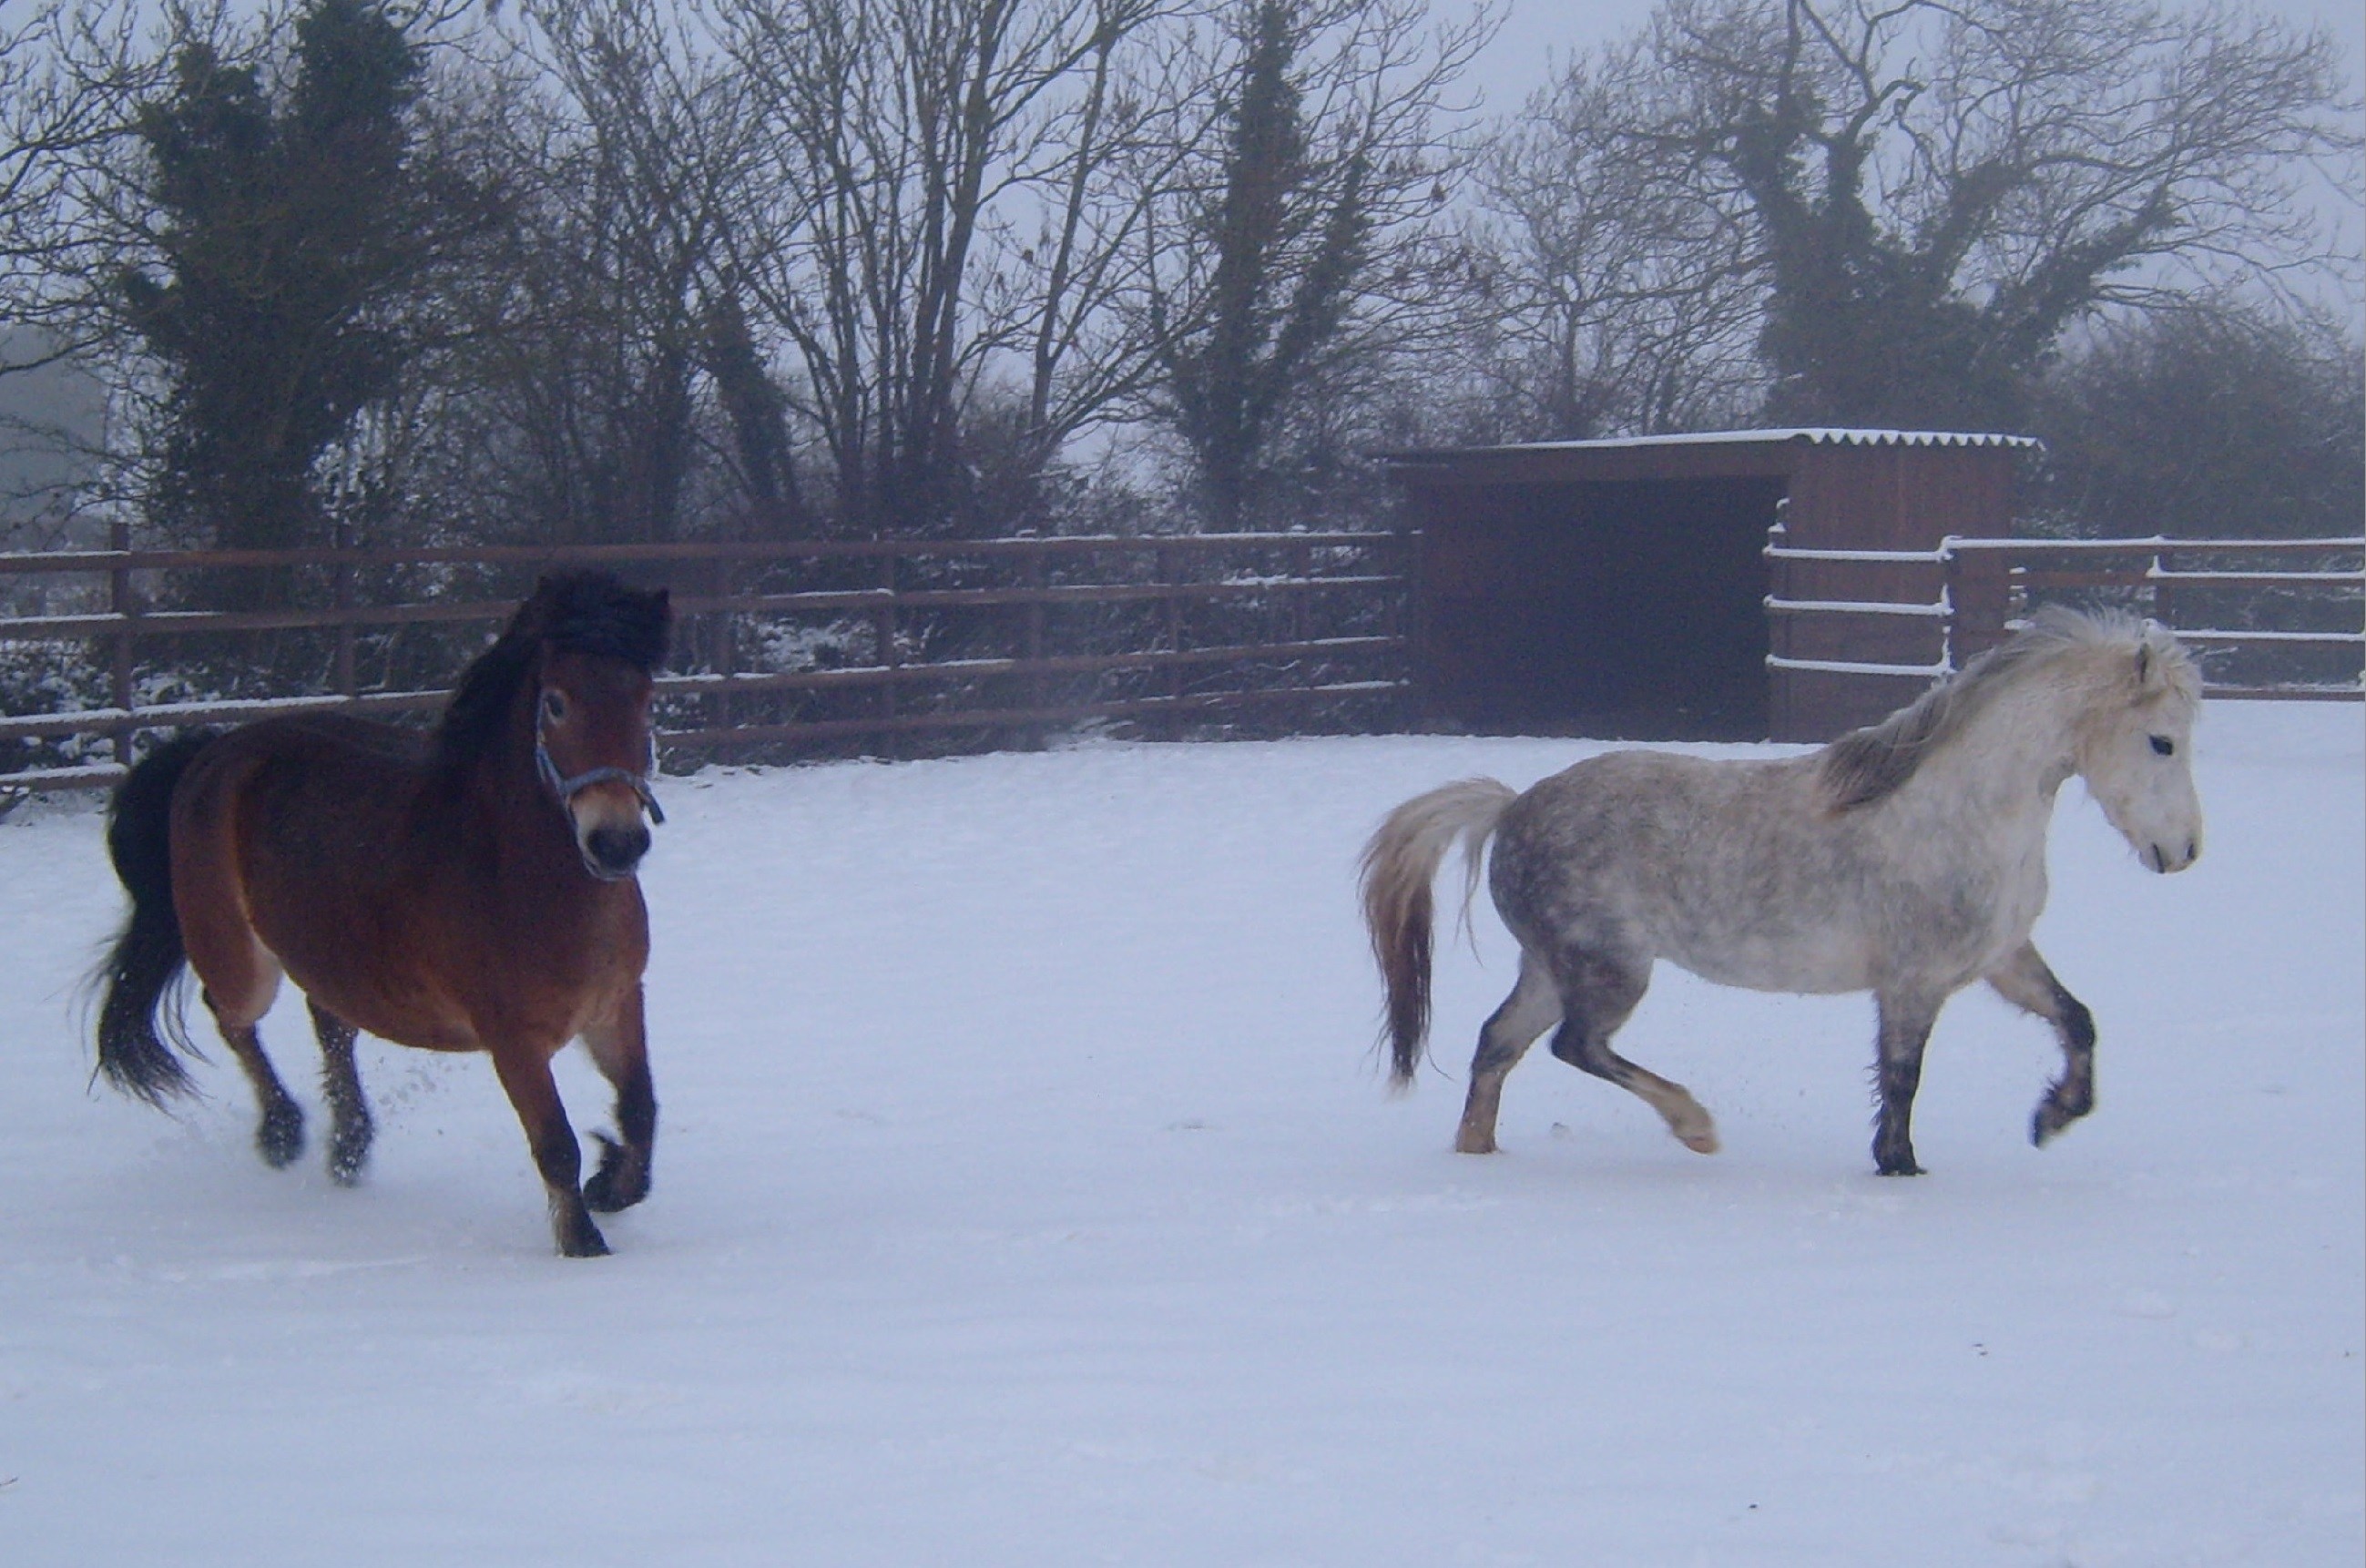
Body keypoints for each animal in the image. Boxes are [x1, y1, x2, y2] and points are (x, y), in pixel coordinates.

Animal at [91, 571, 672, 1256]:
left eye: (645, 699)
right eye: (556, 703)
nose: (617, 843)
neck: (517, 873)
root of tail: (212, 753)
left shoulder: (617, 1004)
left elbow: (640, 1110)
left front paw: (611, 1184)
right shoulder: (513, 1040)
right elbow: (555, 1145)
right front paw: (584, 1244)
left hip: (333, 958)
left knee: (331, 1026)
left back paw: (349, 1147)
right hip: (237, 957)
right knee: (232, 1017)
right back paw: (283, 1133)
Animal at [1361, 607, 2204, 1177]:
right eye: (2162, 741)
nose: (2184, 852)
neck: (1959, 810)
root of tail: (1511, 808)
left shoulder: (2001, 958)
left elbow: (2078, 1020)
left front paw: (2053, 1118)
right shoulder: (1913, 981)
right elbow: (1902, 1080)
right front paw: (1900, 1168)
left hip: (1548, 966)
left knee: (1498, 1044)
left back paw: (1479, 1157)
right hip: (1607, 967)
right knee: (1577, 1044)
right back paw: (1695, 1125)